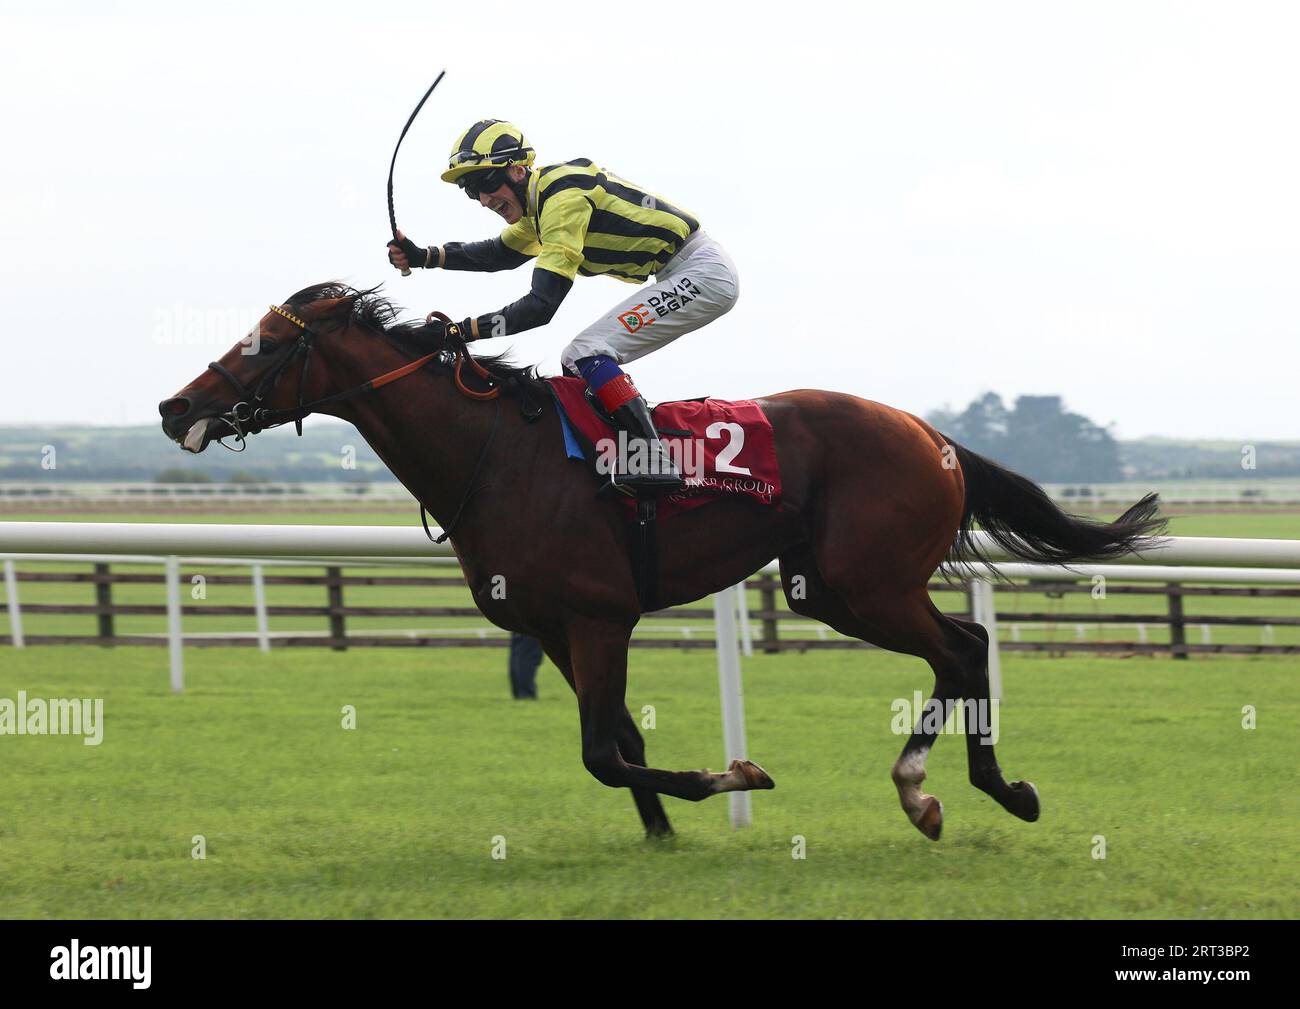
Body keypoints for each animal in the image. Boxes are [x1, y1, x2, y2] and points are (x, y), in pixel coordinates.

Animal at [159, 283, 1165, 841]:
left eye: (268, 341)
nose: (175, 408)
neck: (496, 452)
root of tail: (933, 433)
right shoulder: (551, 627)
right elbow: (622, 744)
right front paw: (661, 832)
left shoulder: (599, 615)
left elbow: (603, 752)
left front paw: (731, 779)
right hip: (829, 587)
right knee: (964, 645)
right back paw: (975, 789)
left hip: (866, 581)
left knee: (959, 649)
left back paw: (946, 791)